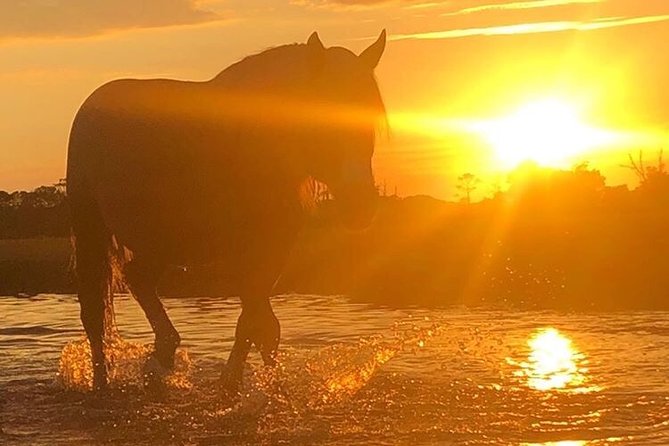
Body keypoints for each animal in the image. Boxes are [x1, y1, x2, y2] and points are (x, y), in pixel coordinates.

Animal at [66, 30, 387, 391]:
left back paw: (161, 357)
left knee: (139, 279)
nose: (361, 207)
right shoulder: (243, 254)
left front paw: (262, 385)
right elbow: (256, 322)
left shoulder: (273, 250)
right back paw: (104, 382)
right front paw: (234, 385)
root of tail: (94, 101)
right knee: (94, 312)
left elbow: (262, 326)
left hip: (161, 238)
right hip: (92, 226)